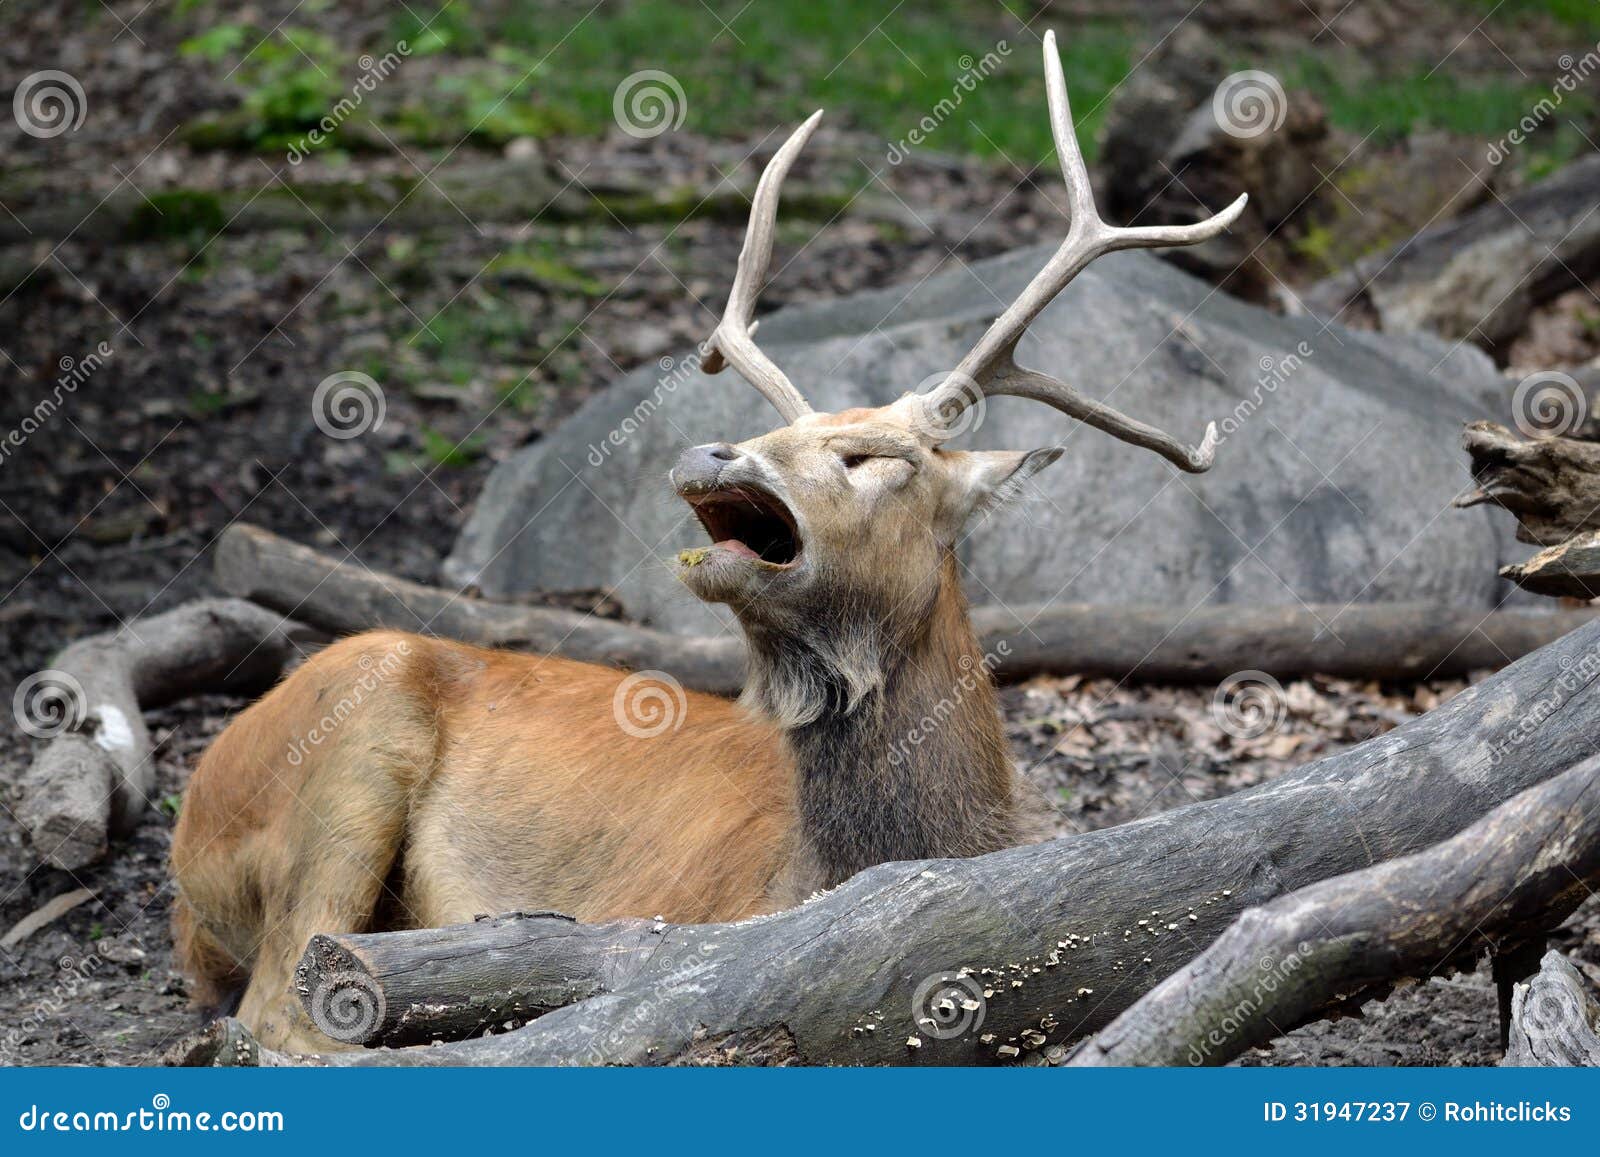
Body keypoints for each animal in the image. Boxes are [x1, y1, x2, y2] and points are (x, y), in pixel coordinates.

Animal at [169, 31, 1245, 1053]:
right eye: (778, 428)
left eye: (875, 454)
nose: (715, 447)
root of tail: (193, 809)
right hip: (349, 740)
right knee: (277, 1008)